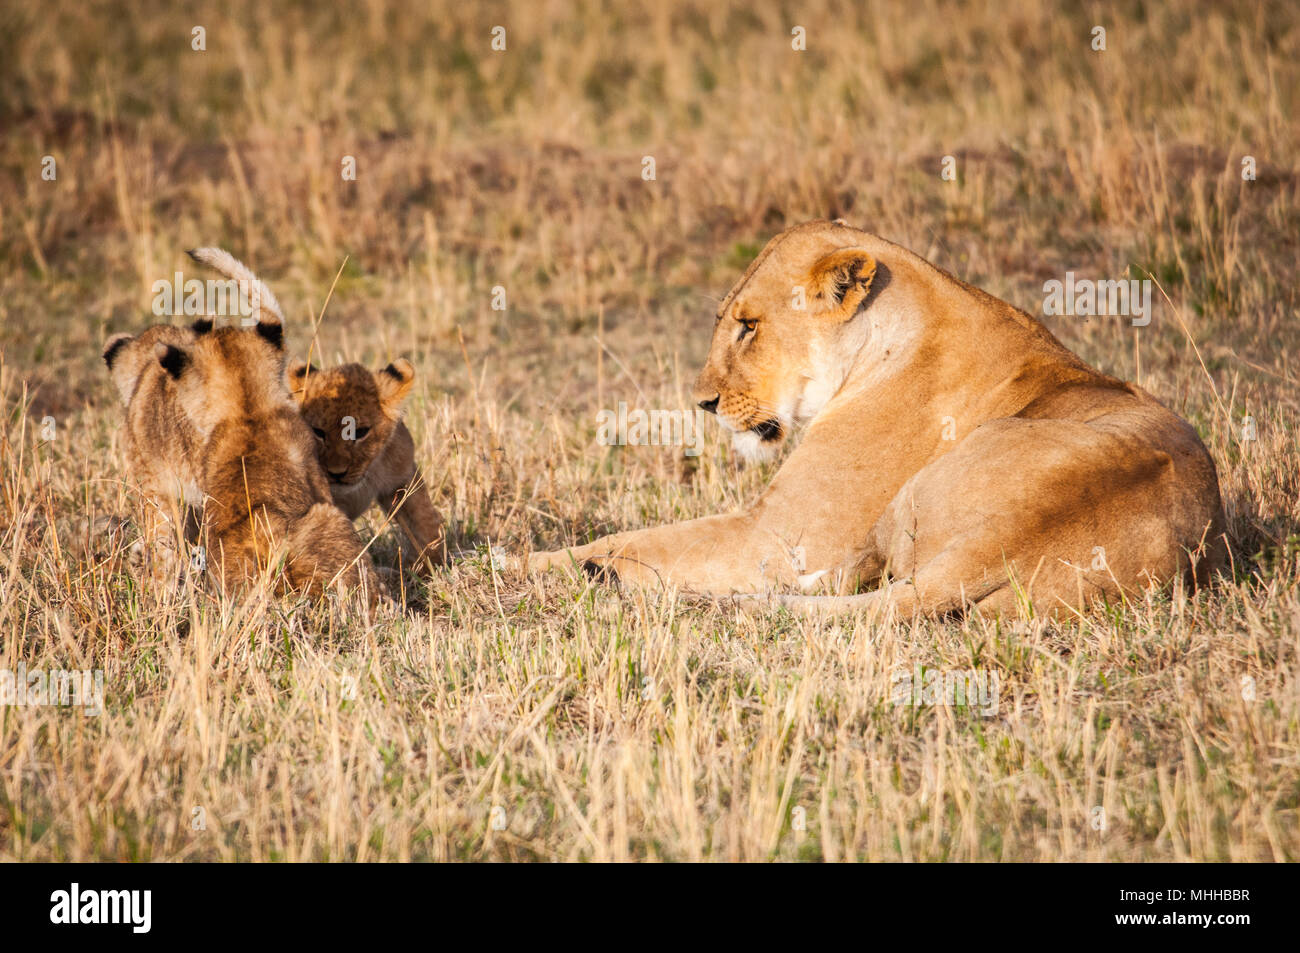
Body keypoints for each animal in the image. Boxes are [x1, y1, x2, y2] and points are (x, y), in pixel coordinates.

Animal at [287, 358, 447, 574]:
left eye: (361, 432)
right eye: (318, 432)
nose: (337, 473)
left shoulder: (402, 477)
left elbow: (424, 519)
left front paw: (432, 566)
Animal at [529, 220, 1228, 616]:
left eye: (749, 326)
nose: (702, 402)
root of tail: (997, 541)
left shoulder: (779, 535)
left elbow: (638, 539)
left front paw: (524, 564)